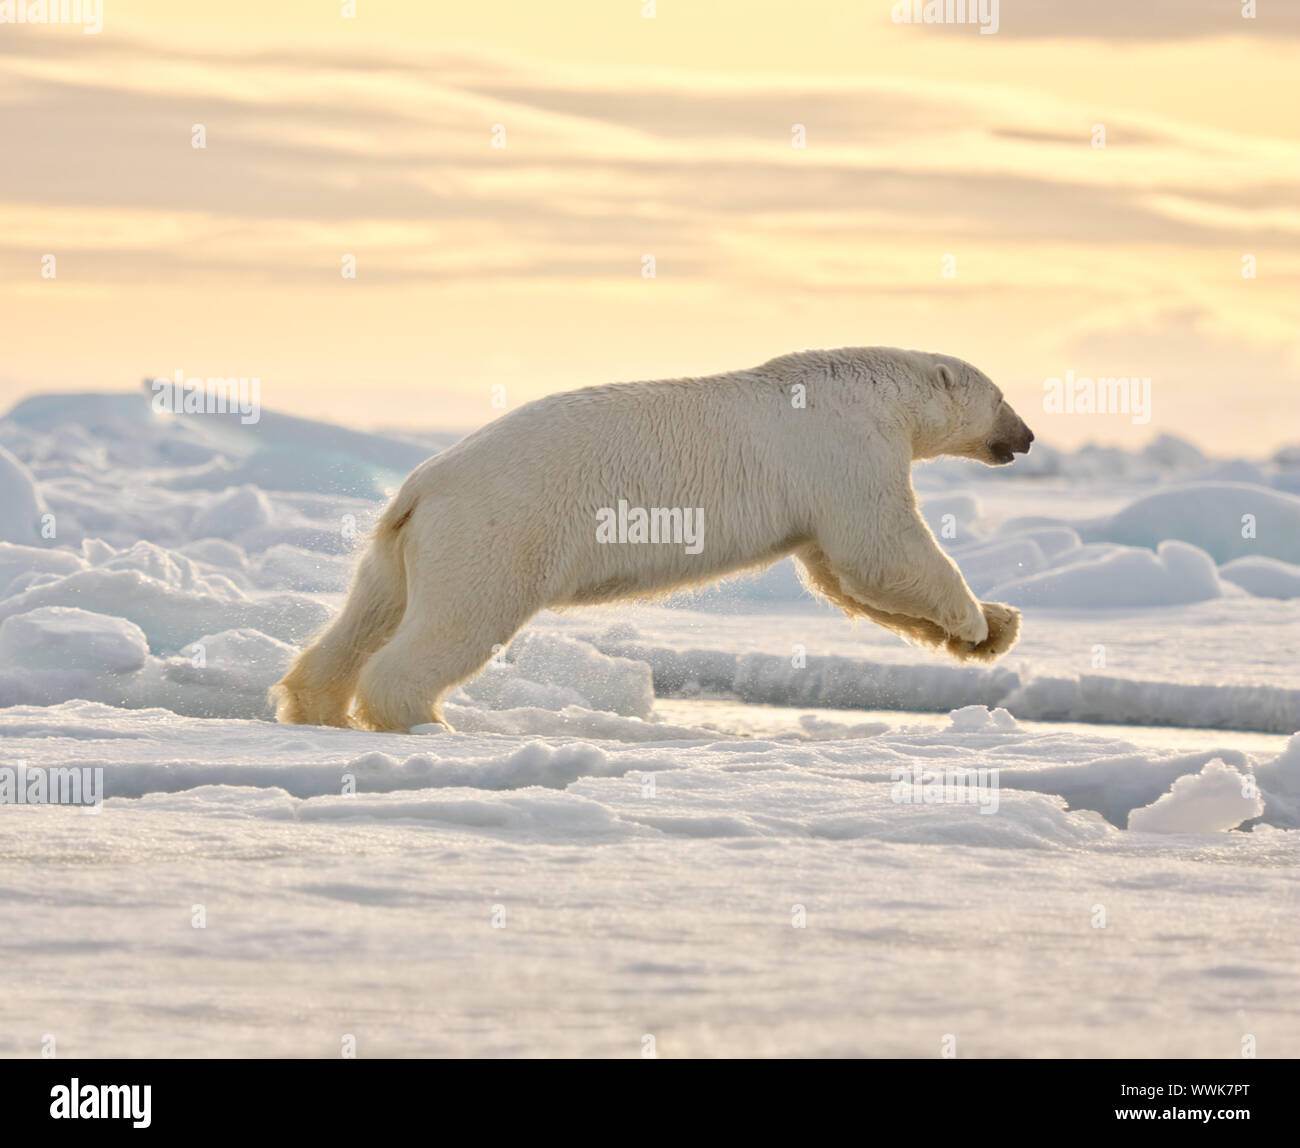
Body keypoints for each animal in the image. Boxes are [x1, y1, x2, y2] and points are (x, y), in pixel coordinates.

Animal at [271, 347, 1035, 732]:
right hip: (497, 532)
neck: (876, 387)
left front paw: (995, 628)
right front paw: (977, 621)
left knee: (367, 614)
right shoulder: (845, 447)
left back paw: (316, 705)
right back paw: (423, 720)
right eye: (1000, 398)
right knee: (458, 623)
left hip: (397, 548)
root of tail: (420, 486)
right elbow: (881, 547)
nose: (1027, 437)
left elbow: (842, 577)